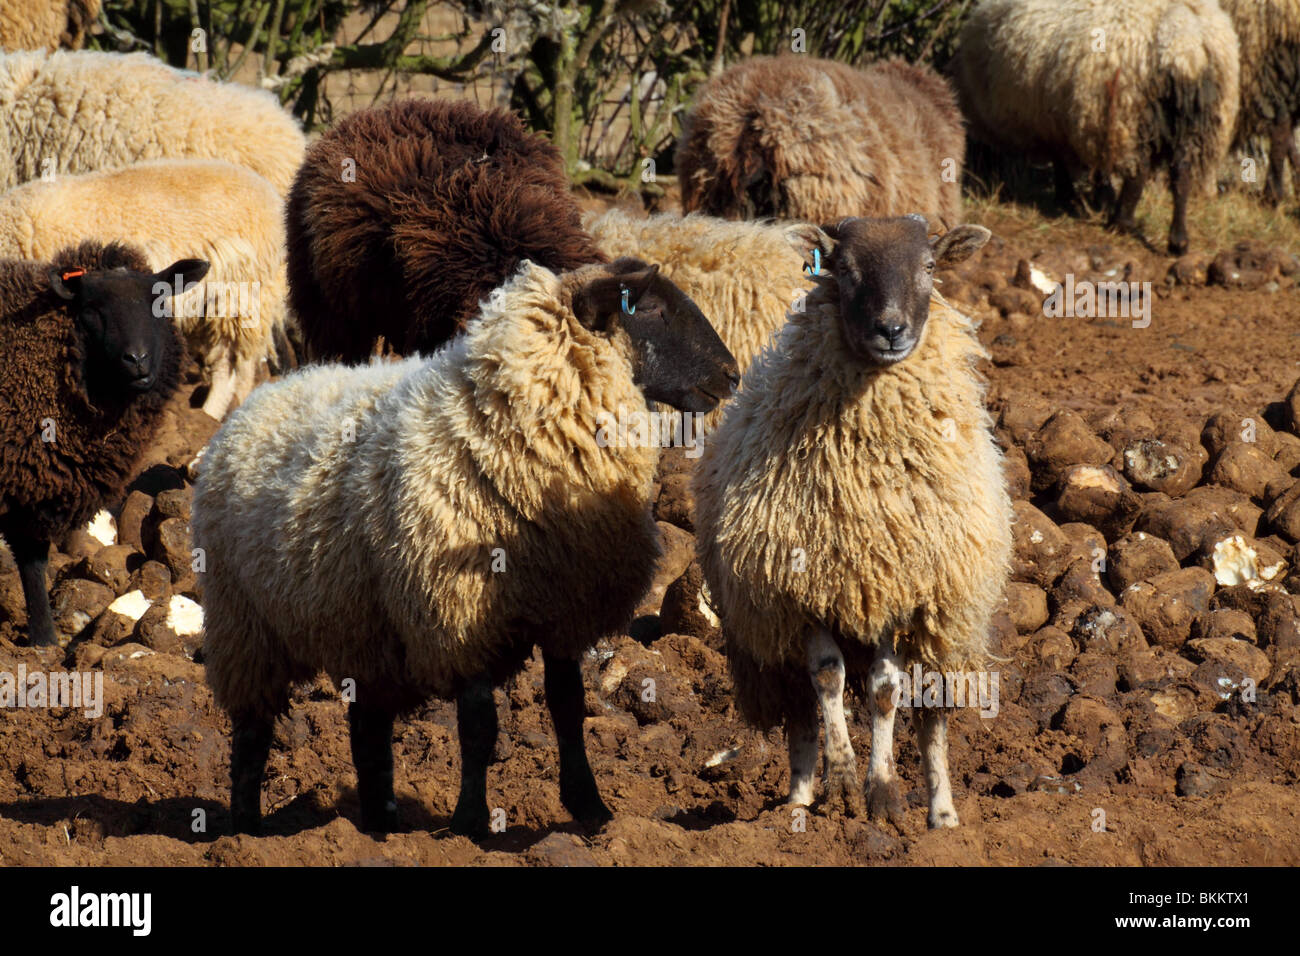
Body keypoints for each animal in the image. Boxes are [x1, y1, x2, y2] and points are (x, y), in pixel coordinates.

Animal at [0, 241, 208, 647]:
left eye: (160, 302)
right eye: (92, 312)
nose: (137, 360)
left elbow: (33, 559)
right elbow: (31, 561)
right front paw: (44, 641)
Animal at [193, 258, 739, 837]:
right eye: (650, 308)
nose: (732, 375)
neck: (498, 428)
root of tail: (261, 397)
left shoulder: (563, 607)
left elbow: (568, 709)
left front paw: (591, 809)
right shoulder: (462, 612)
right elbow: (479, 725)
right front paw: (471, 822)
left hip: (363, 627)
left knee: (367, 729)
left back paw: (381, 825)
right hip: (244, 624)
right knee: (252, 733)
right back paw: (246, 828)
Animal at [693, 216, 1010, 828]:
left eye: (929, 266)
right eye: (842, 267)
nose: (891, 329)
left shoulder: (895, 589)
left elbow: (886, 691)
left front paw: (882, 794)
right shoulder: (802, 589)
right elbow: (827, 677)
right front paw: (841, 784)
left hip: (942, 629)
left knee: (931, 718)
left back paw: (942, 816)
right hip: (769, 642)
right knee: (800, 711)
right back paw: (797, 801)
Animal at [951, 0, 1240, 254]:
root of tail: (1183, 42)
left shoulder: (1066, 123)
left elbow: (1065, 164)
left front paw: (1070, 199)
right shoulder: (1082, 124)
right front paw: (1097, 200)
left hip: (1128, 111)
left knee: (1138, 172)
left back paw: (1121, 222)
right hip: (1195, 119)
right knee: (1182, 174)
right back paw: (1178, 241)